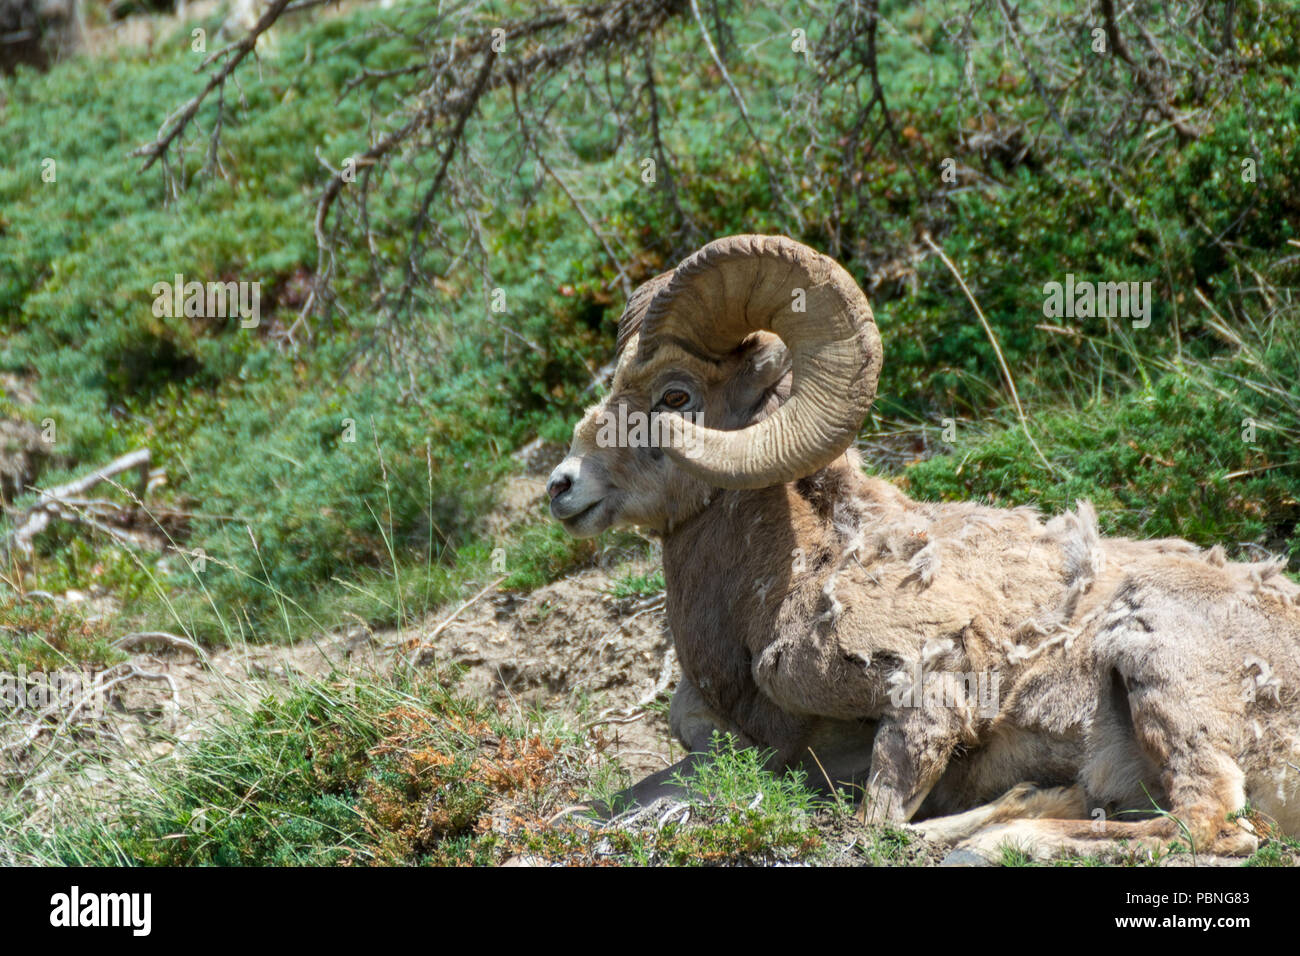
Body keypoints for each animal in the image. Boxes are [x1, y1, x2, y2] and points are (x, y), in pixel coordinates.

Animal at [546, 234, 1300, 858]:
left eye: (676, 396)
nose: (562, 486)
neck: (789, 577)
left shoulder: (926, 697)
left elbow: (873, 825)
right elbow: (596, 810)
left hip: (1154, 661)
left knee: (1208, 825)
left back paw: (1014, 828)